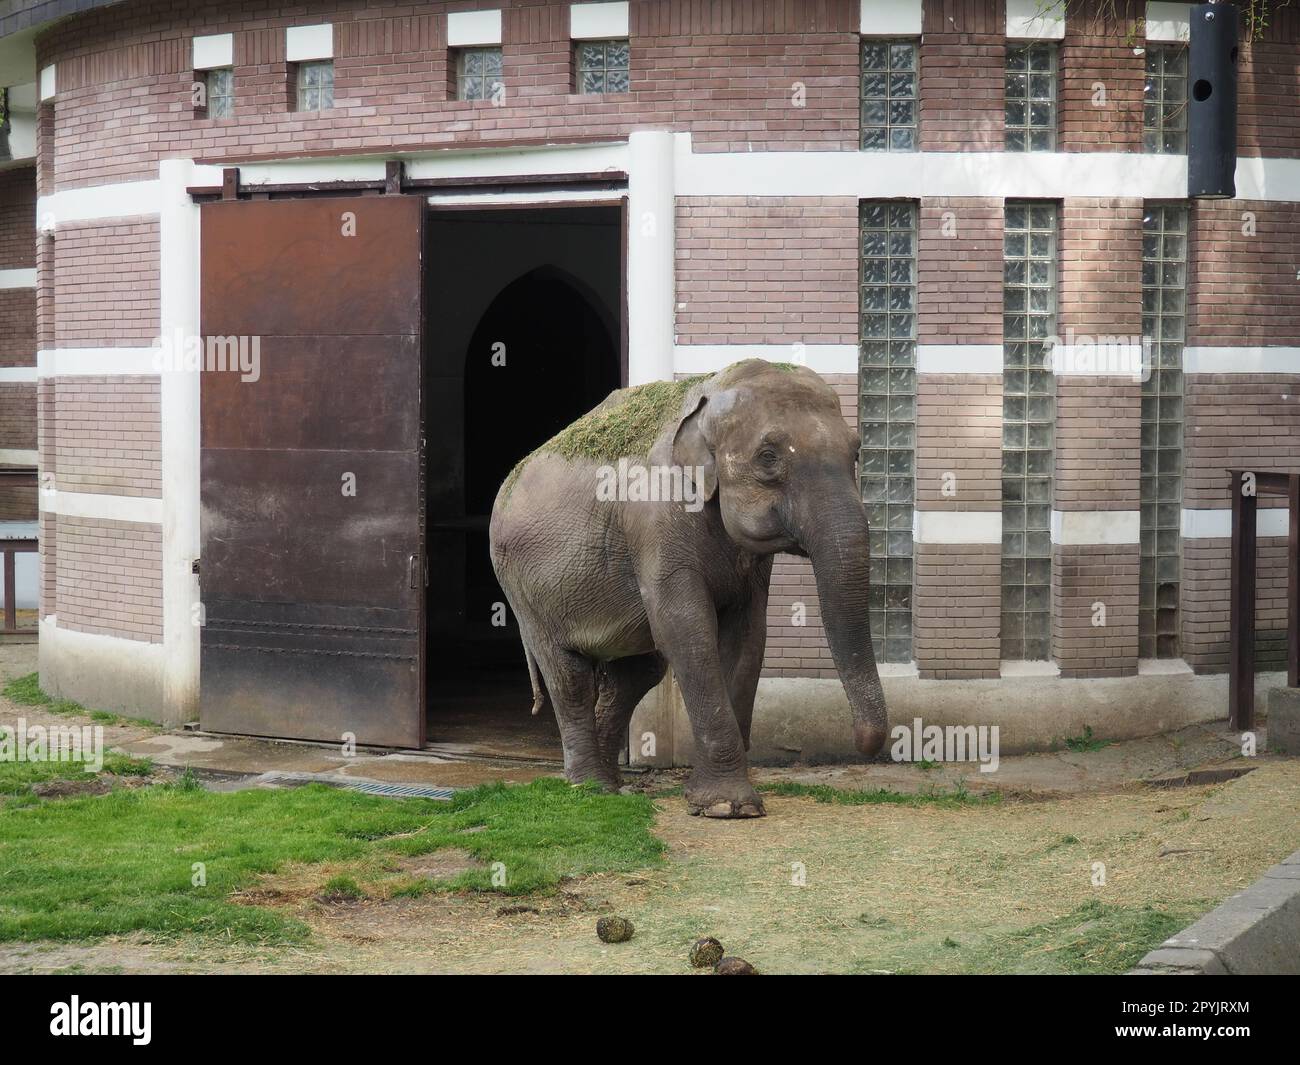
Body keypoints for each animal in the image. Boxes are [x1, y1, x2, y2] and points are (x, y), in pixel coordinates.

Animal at [489, 359, 888, 818]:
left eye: (856, 451)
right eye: (768, 458)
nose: (864, 743)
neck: (707, 394)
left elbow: (748, 636)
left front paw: (718, 801)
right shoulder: (653, 520)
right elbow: (686, 630)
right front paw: (727, 808)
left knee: (635, 674)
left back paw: (611, 787)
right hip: (524, 590)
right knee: (569, 674)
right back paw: (588, 789)